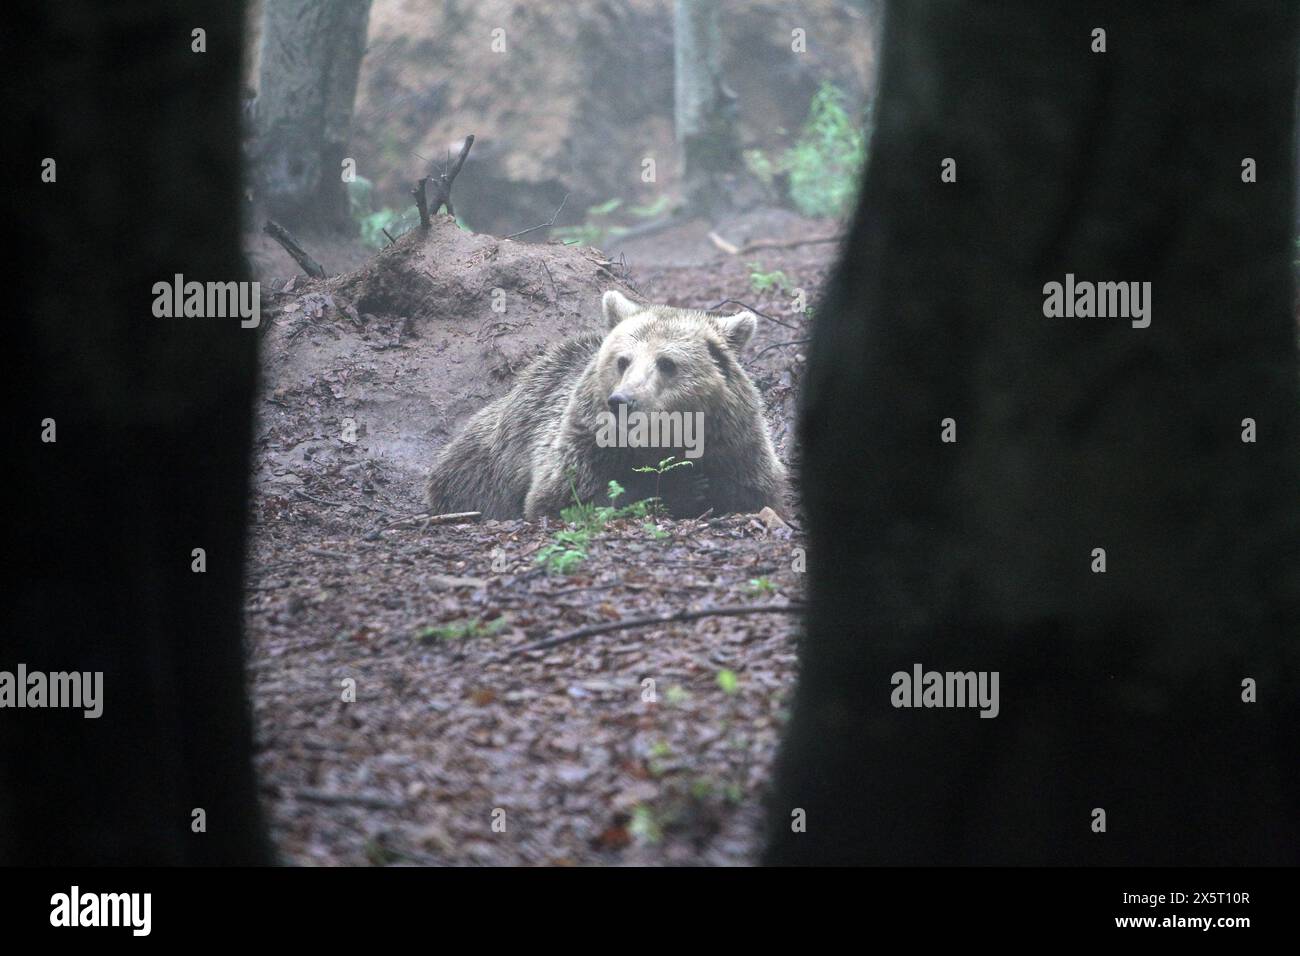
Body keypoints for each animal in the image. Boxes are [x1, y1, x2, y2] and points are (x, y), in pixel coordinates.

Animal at [425, 290, 787, 520]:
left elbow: (756, 491)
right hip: (481, 461)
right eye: (623, 360)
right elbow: (564, 496)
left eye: (667, 363)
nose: (623, 401)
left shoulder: (735, 443)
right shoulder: (585, 440)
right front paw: (681, 488)